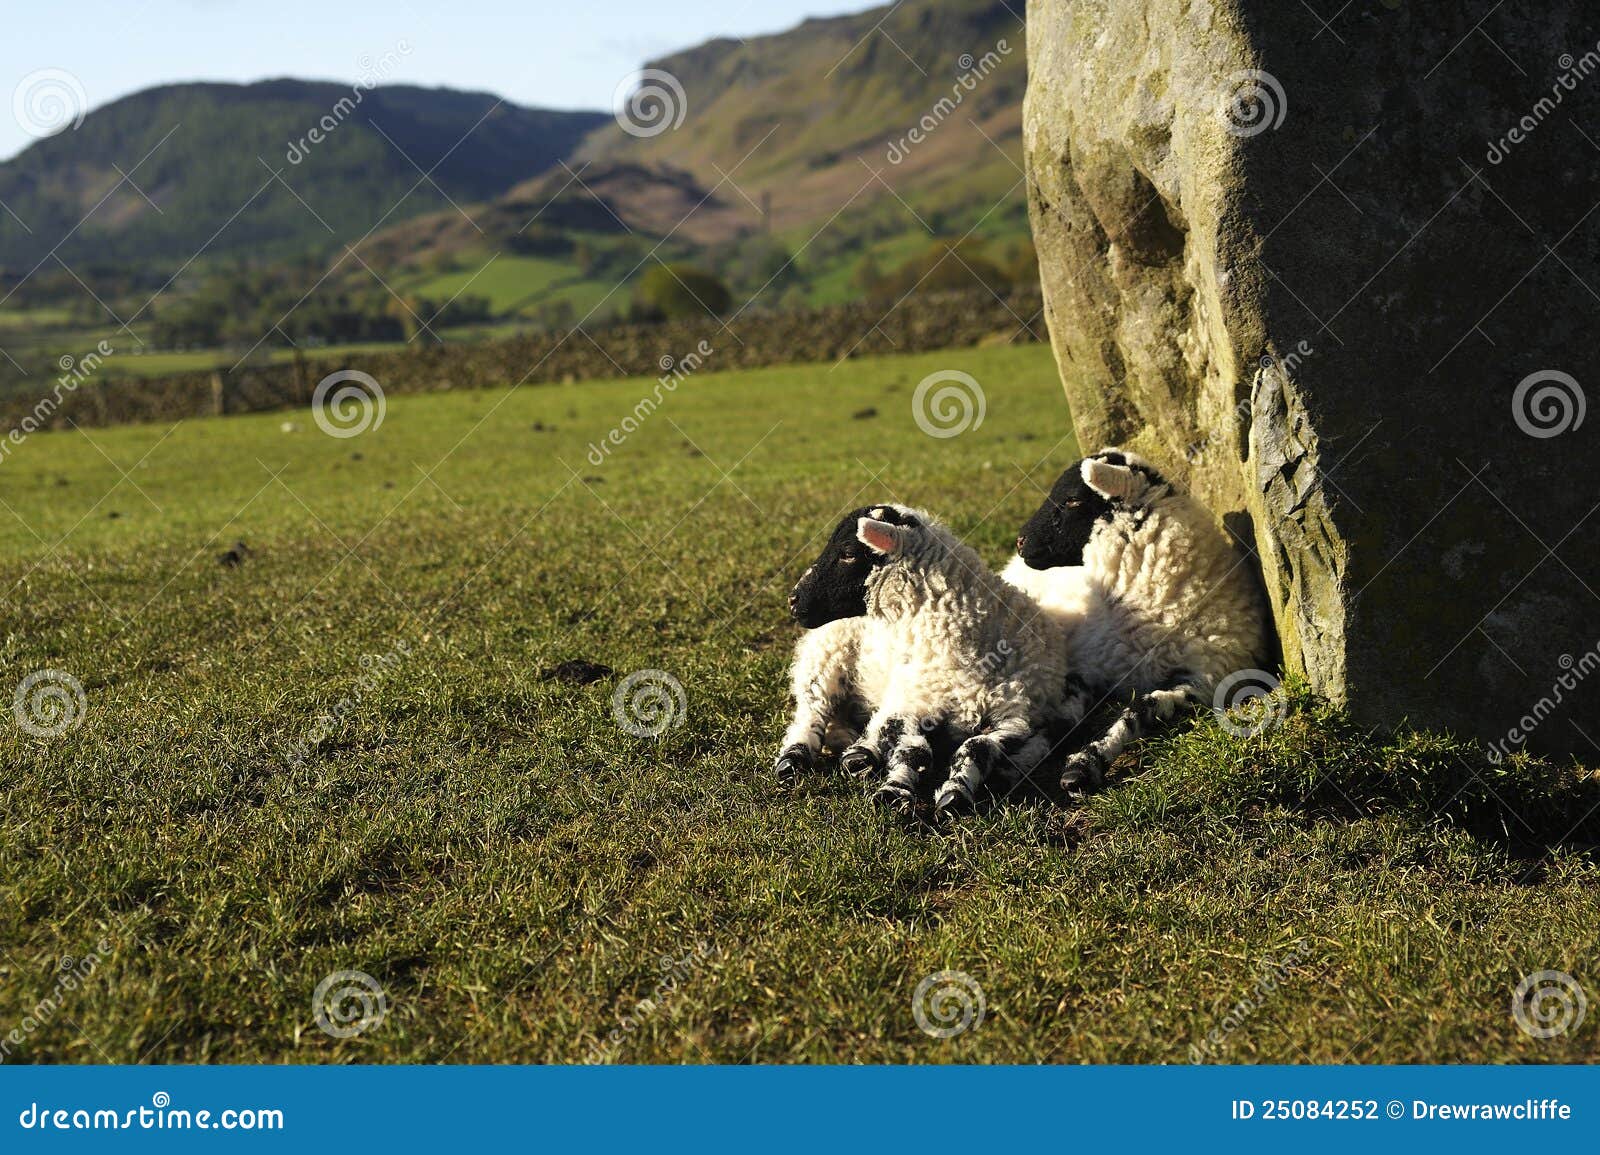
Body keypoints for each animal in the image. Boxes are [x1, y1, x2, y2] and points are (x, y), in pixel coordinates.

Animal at [775, 503, 1077, 816]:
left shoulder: (1017, 717)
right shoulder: (915, 700)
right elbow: (914, 751)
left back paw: (860, 754)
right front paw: (893, 792)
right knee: (812, 711)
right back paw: (794, 757)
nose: (793, 600)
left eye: (848, 552)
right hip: (824, 656)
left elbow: (976, 747)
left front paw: (955, 793)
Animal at [1003, 448, 1271, 793]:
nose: (1020, 541)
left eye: (1073, 500)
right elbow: (1063, 717)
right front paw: (1020, 760)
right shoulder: (1088, 667)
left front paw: (1083, 765)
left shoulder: (1201, 682)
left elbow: (1138, 711)